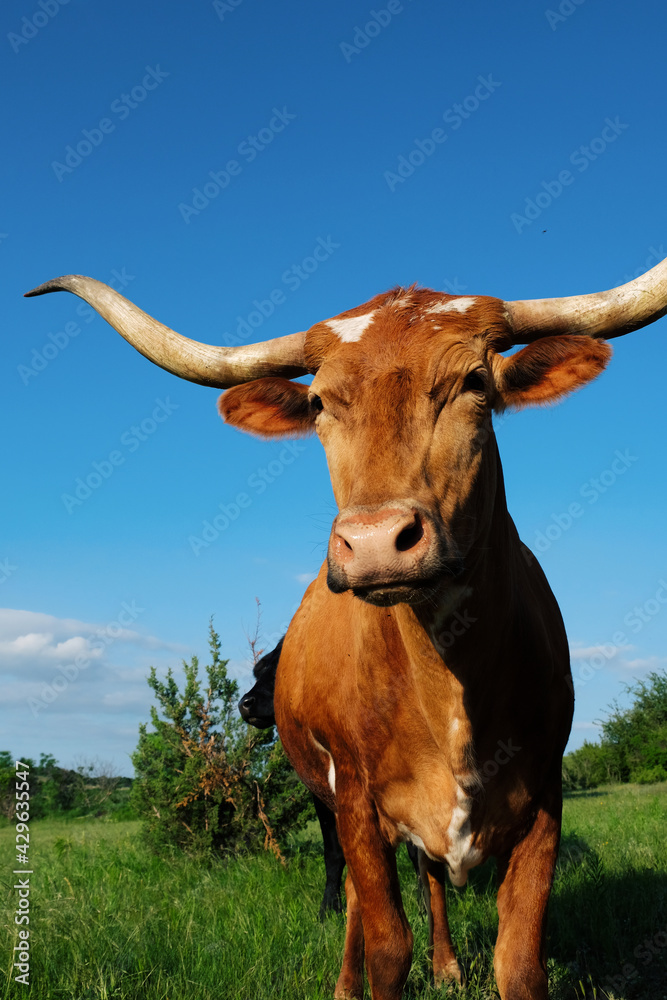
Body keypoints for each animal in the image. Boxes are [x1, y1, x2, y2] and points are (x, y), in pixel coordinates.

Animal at [26, 257, 667, 999]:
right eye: (320, 405)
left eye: (474, 383)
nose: (375, 542)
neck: (448, 687)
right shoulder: (358, 802)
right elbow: (387, 944)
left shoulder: (543, 796)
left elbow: (518, 960)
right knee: (363, 899)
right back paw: (344, 982)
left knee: (428, 878)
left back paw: (447, 965)